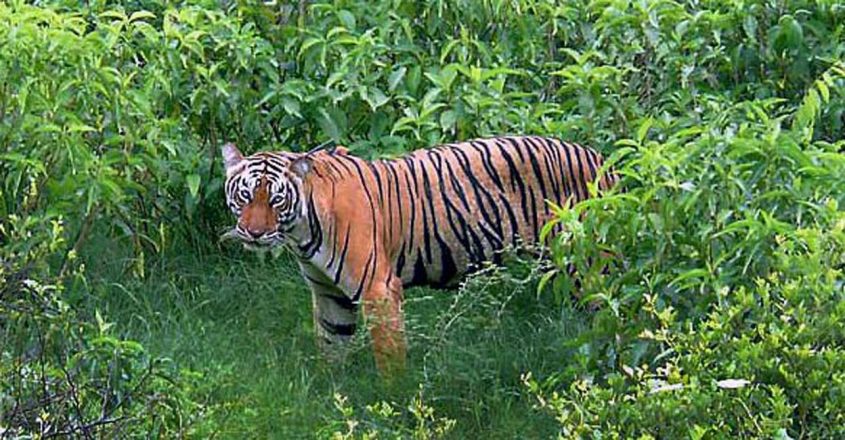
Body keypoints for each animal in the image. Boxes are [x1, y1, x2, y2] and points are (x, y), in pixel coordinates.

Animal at [221, 136, 618, 375]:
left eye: (275, 199)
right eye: (245, 196)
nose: (254, 233)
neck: (302, 230)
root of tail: (604, 159)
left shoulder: (378, 288)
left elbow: (389, 355)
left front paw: (392, 402)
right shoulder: (329, 294)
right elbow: (332, 346)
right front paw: (330, 396)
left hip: (587, 268)